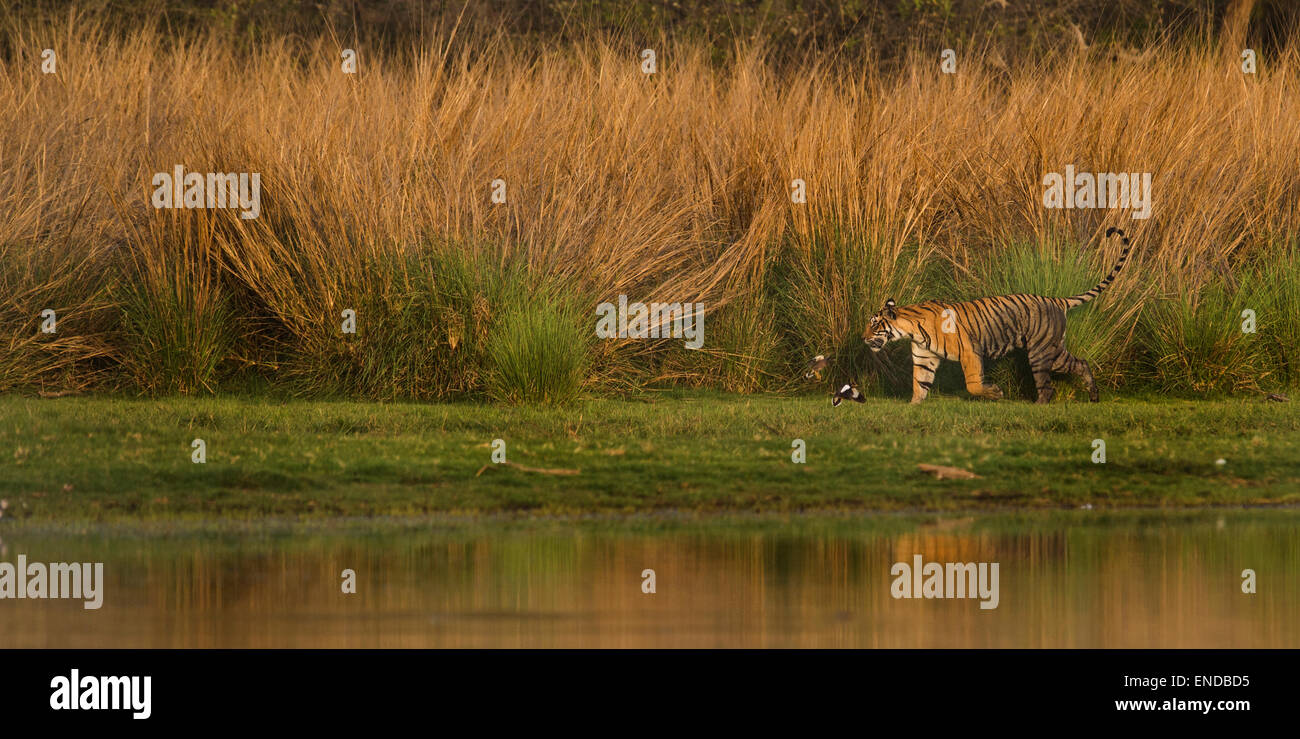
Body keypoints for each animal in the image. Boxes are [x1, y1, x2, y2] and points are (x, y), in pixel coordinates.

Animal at [863, 228, 1132, 404]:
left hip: (1040, 352)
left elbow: (973, 384)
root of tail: (1056, 299)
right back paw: (1094, 395)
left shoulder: (969, 351)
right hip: (1054, 350)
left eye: (874, 325)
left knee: (1047, 386)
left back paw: (1038, 406)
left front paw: (996, 393)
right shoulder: (924, 357)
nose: (863, 338)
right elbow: (920, 384)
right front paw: (913, 407)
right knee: (1081, 363)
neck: (911, 329)